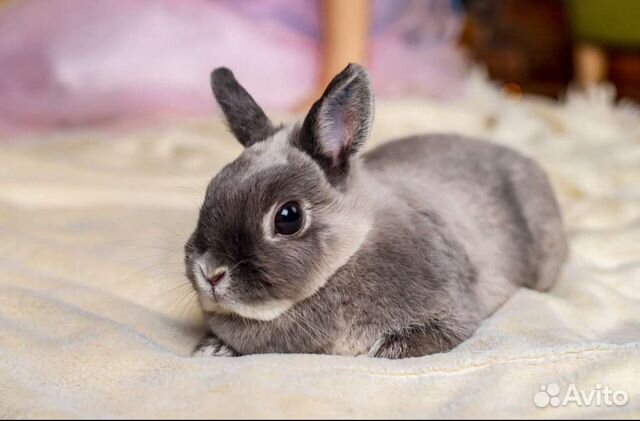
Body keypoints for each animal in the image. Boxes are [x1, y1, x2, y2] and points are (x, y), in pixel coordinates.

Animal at [184, 63, 568, 359]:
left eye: (288, 217)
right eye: (211, 190)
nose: (211, 272)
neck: (347, 255)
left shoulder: (452, 316)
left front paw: (384, 349)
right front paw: (212, 349)